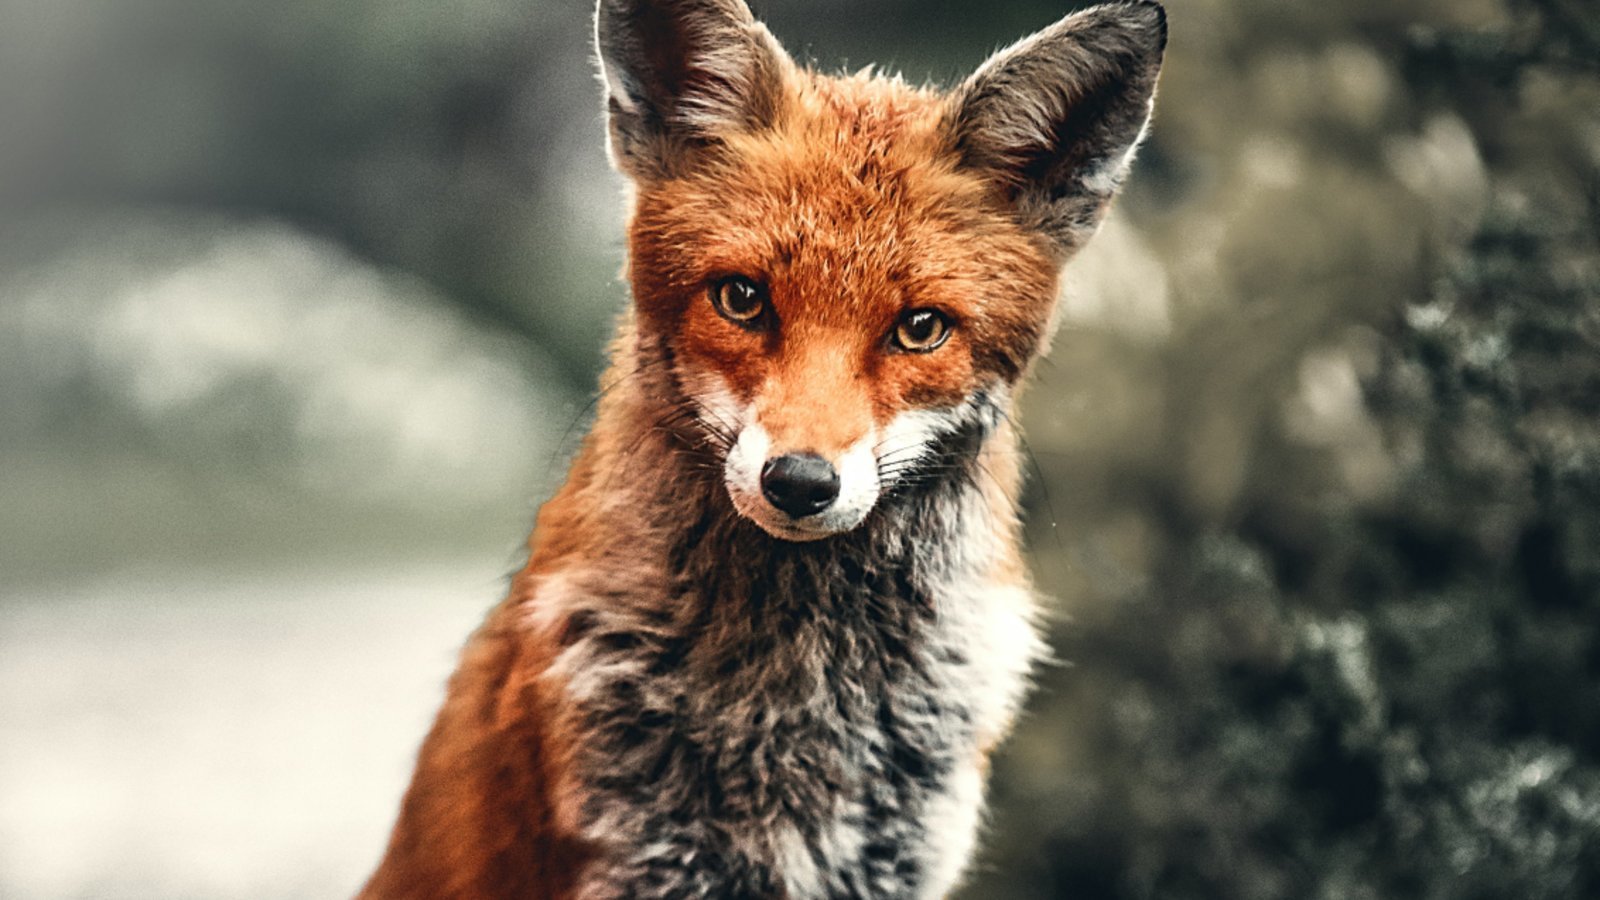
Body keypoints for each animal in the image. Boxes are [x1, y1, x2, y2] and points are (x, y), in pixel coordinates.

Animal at [360, 1, 1165, 897]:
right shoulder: (640, 855)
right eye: (742, 298)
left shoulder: (899, 859)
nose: (801, 482)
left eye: (921, 328)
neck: (804, 703)